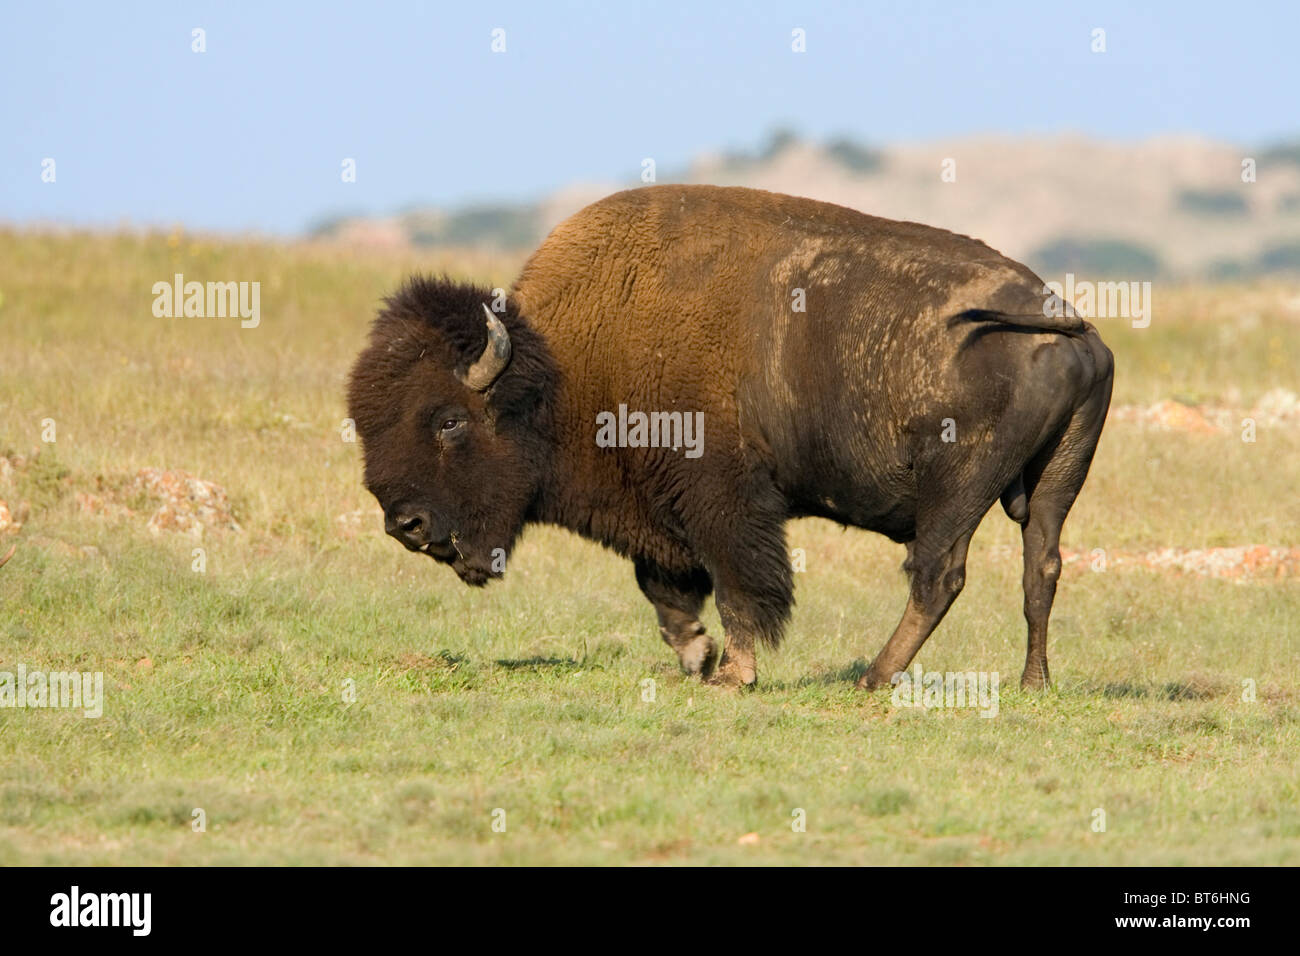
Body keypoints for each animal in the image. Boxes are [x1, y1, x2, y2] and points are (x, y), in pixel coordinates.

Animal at [347, 185, 1113, 690]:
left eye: (449, 419)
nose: (405, 524)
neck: (561, 370)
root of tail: (1062, 319)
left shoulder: (723, 502)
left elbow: (742, 585)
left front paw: (729, 673)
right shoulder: (657, 512)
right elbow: (666, 589)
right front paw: (696, 655)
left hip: (957, 487)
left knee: (937, 574)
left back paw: (873, 678)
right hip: (1054, 483)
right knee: (1040, 567)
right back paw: (1033, 683)